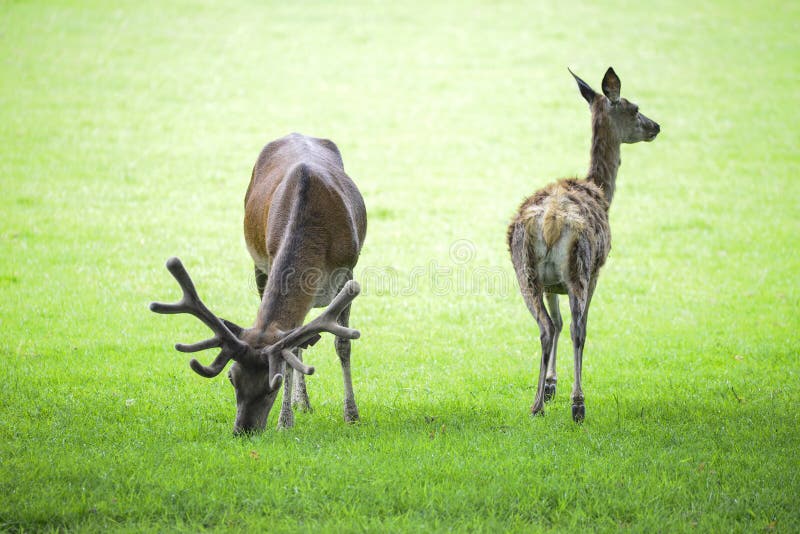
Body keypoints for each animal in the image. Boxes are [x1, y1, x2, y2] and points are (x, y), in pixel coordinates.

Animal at [150, 133, 367, 435]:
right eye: (232, 378)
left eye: (270, 386)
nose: (243, 430)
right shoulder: (267, 262)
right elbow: (294, 349)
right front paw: (285, 421)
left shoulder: (348, 272)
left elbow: (342, 345)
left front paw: (352, 415)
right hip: (259, 268)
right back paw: (302, 403)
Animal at [507, 68, 659, 422]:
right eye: (634, 108)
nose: (656, 126)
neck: (600, 189)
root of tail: (549, 221)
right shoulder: (598, 271)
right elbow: (579, 326)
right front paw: (566, 394)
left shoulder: (552, 285)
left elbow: (559, 322)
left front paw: (551, 385)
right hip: (580, 264)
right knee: (575, 328)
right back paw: (576, 405)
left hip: (525, 272)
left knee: (547, 326)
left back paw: (536, 404)